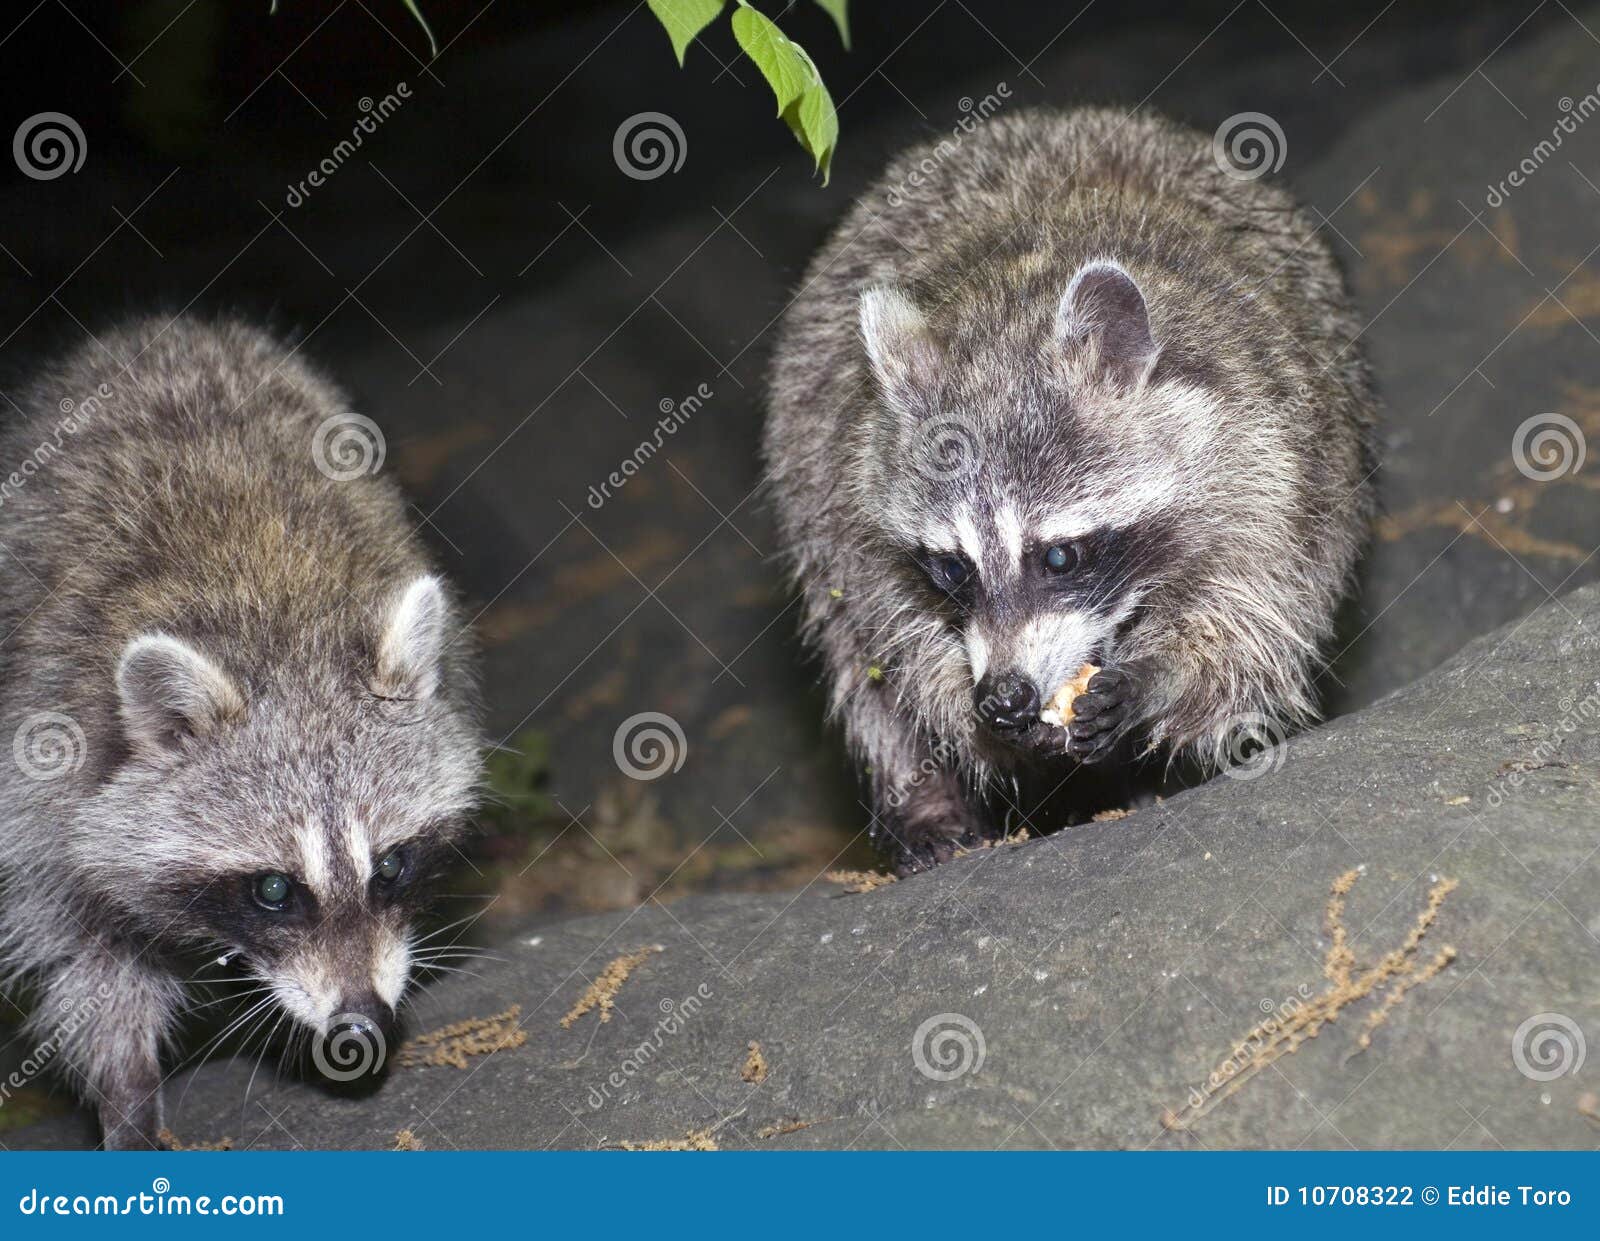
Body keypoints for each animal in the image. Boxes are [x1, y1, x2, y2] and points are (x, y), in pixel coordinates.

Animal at [0, 317, 481, 1148]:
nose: (361, 1016)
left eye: (392, 864)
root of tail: (165, 328)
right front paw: (127, 1094)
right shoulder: (41, 772)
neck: (273, 635)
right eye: (274, 889)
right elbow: (91, 955)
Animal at [764, 108, 1376, 875]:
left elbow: (1255, 624)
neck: (1011, 317)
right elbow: (894, 635)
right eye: (952, 568)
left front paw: (1165, 678)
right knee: (855, 661)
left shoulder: (1274, 454)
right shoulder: (849, 480)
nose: (1004, 696)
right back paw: (921, 798)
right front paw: (962, 719)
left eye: (1059, 557)